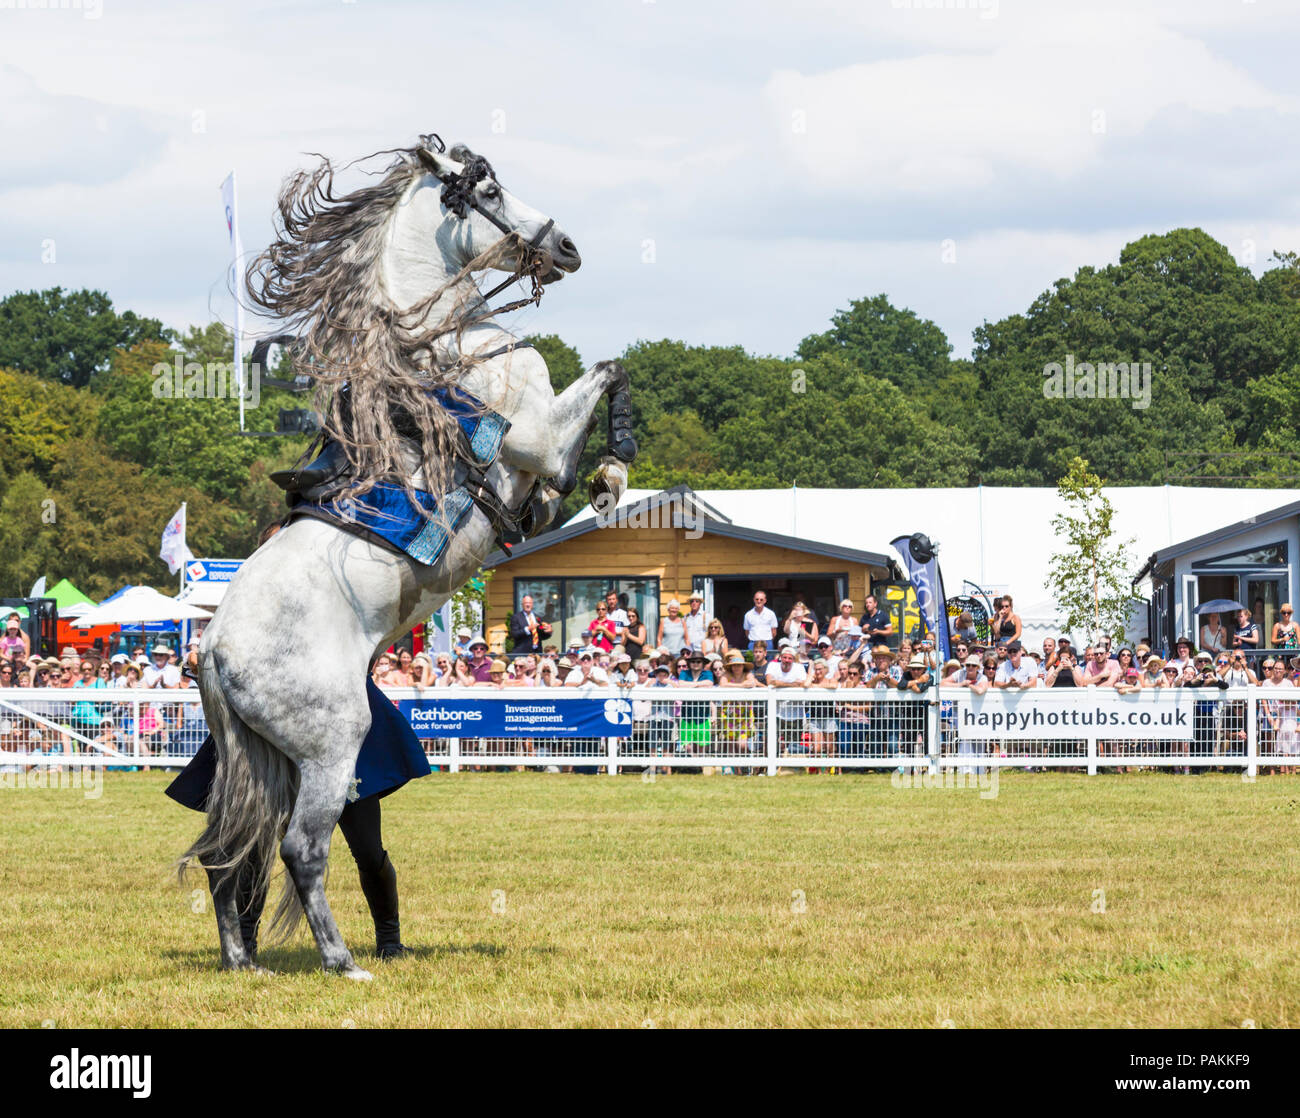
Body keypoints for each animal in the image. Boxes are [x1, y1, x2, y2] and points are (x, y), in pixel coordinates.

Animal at [182, 136, 636, 980]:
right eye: (487, 190)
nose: (565, 247)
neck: (440, 350)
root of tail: (217, 647)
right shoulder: (538, 440)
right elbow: (606, 380)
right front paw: (614, 467)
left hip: (254, 759)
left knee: (232, 854)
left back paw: (243, 959)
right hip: (331, 747)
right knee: (300, 847)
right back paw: (341, 960)